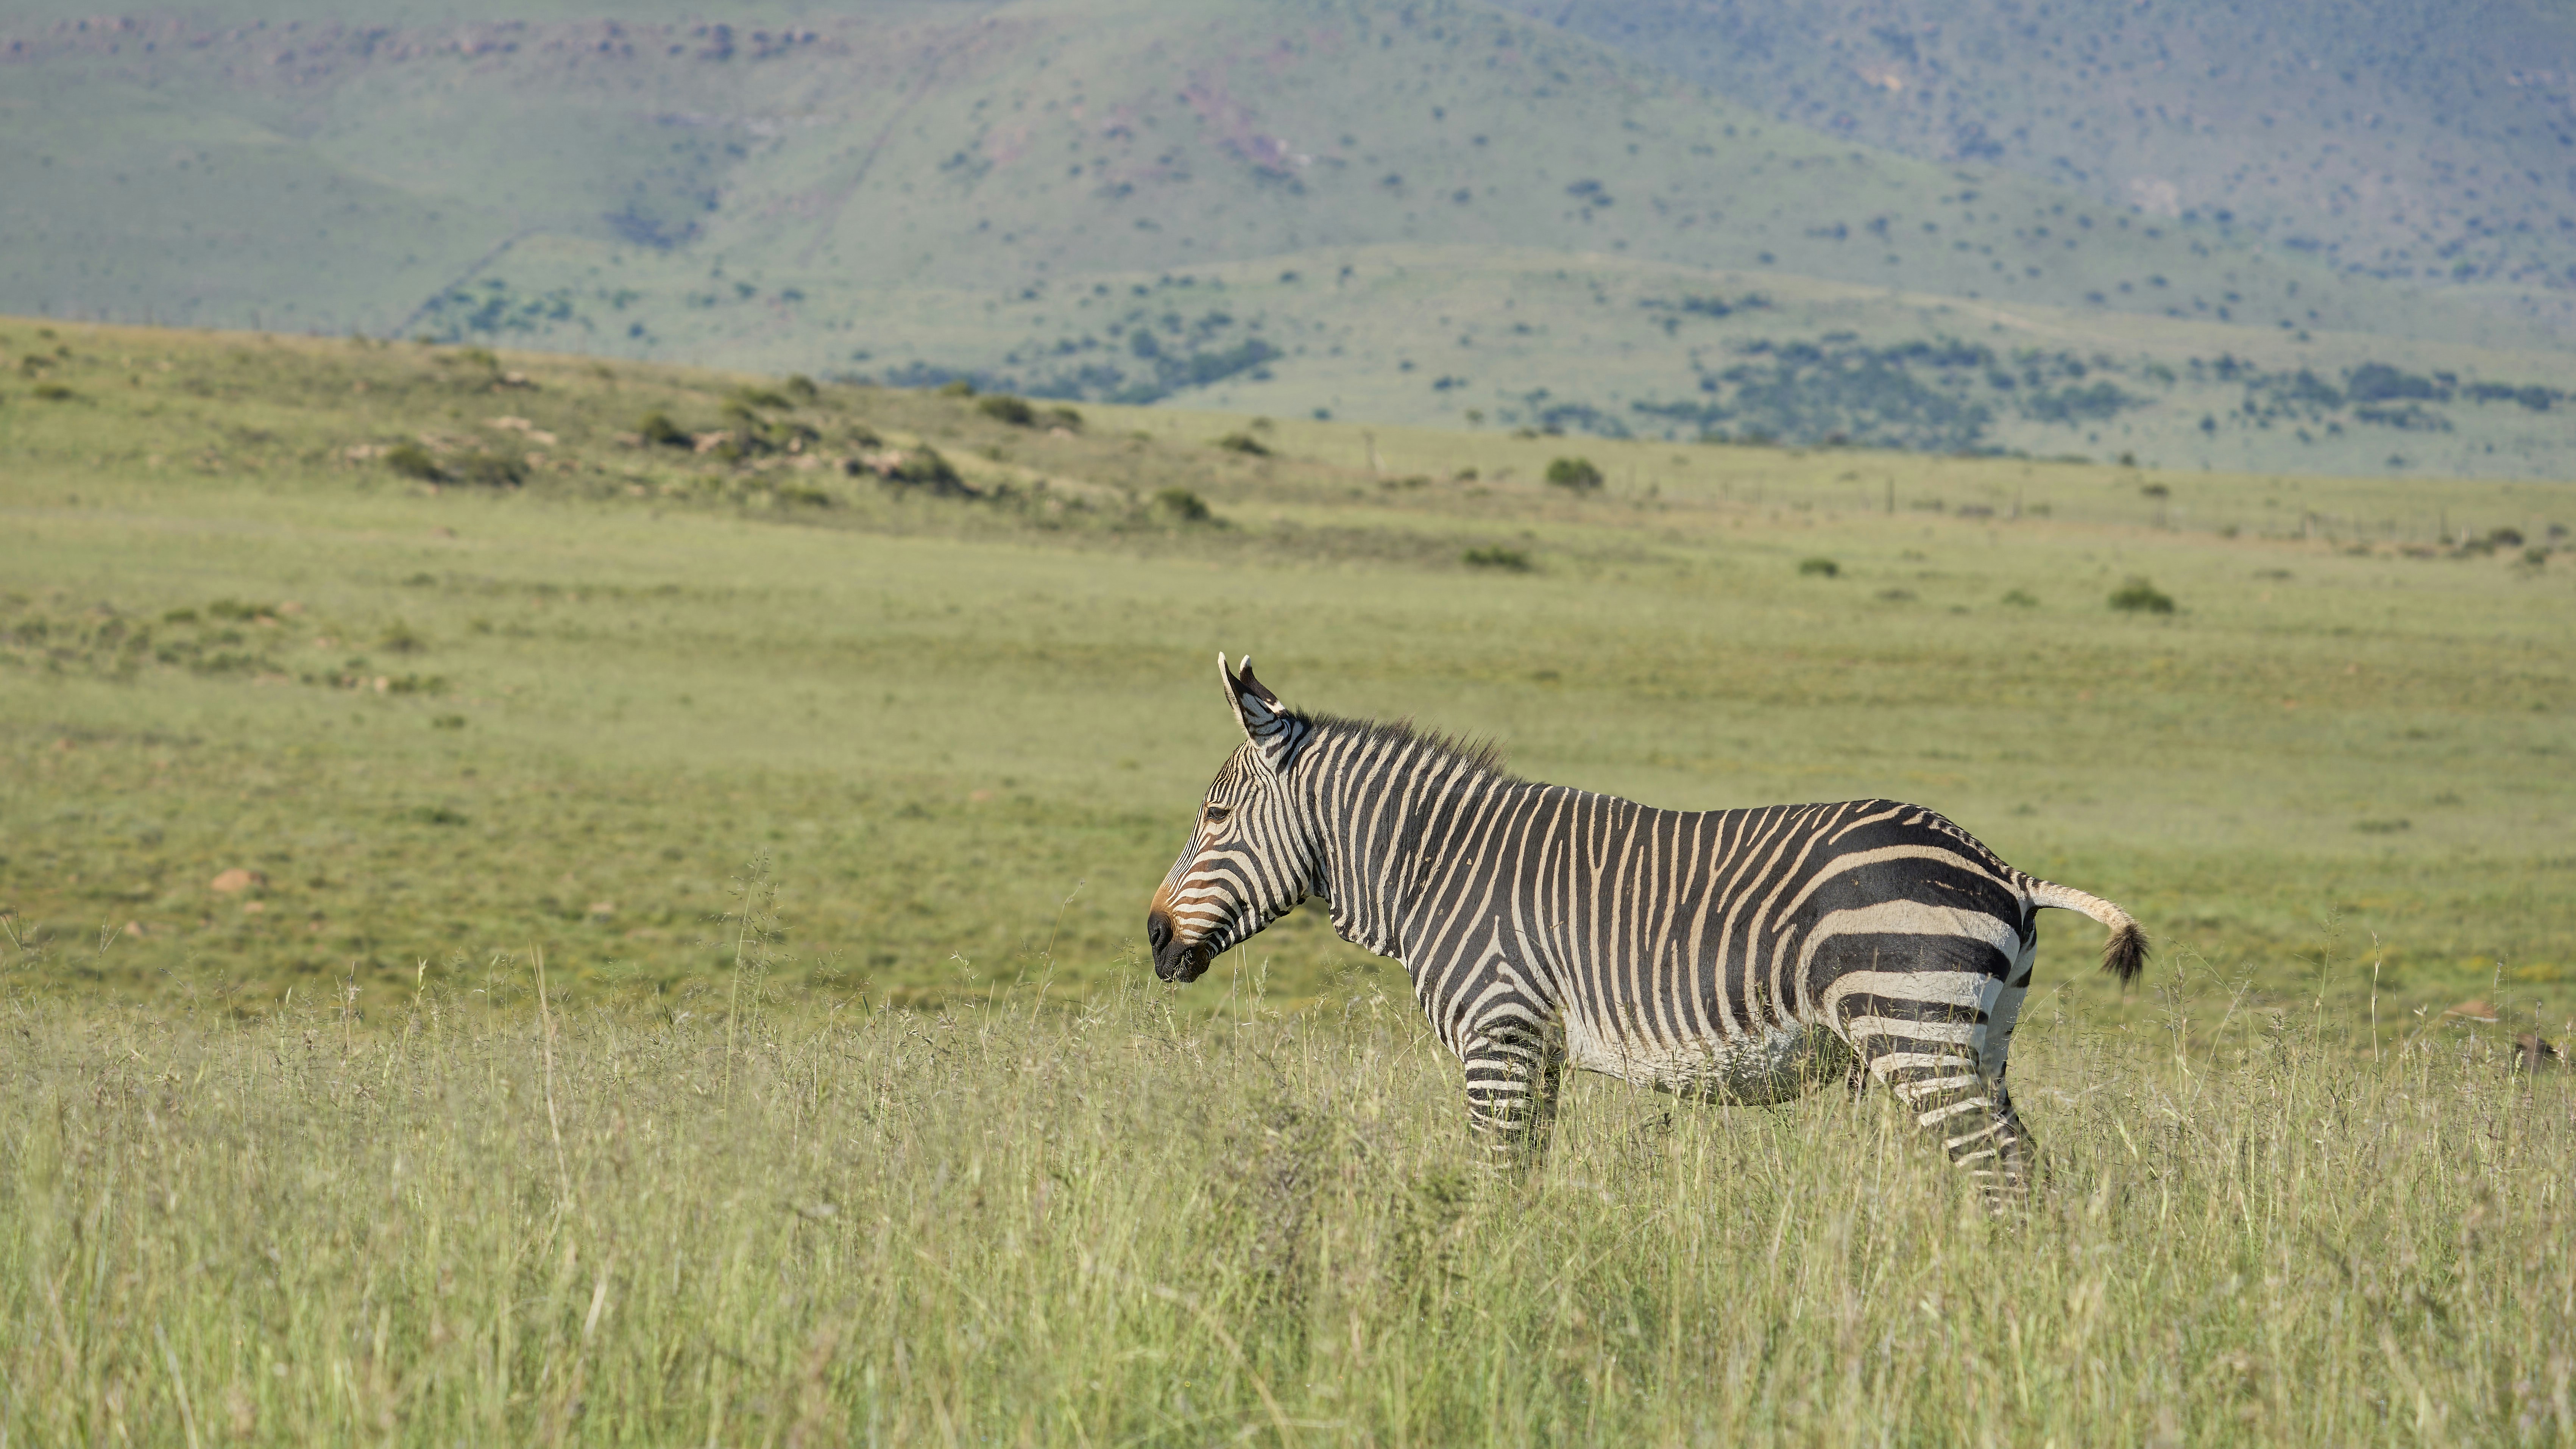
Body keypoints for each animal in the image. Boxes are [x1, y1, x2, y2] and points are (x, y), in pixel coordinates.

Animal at [1146, 655, 2146, 1206]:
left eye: (1217, 816)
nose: (1153, 937)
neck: (1436, 869)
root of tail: (2003, 867)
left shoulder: (1497, 1034)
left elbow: (1491, 1177)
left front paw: (1477, 1291)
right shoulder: (1536, 1050)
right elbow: (1524, 1178)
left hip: (1915, 1031)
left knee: (1996, 1171)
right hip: (1982, 1041)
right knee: (2027, 1168)